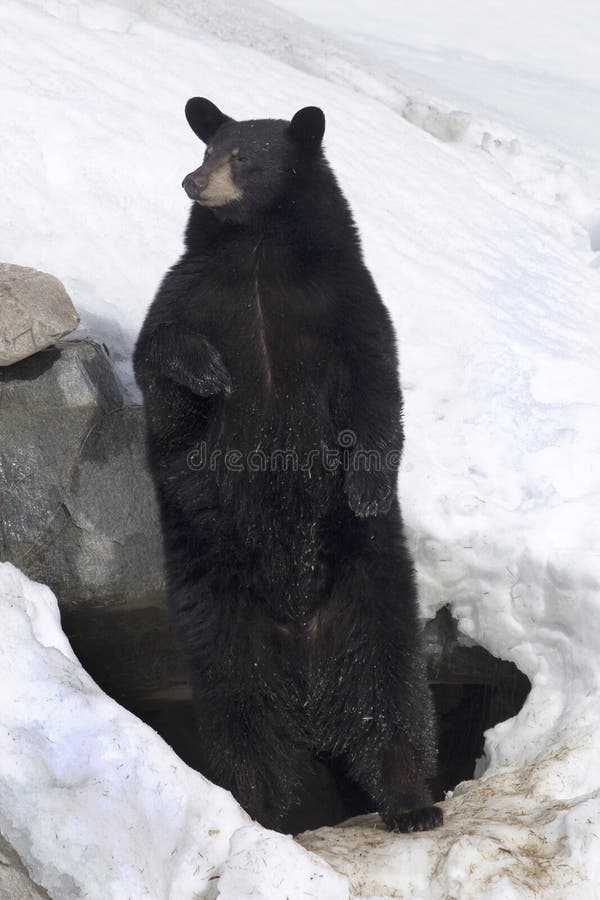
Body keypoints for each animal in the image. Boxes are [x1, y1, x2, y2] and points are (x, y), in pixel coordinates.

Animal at [133, 98, 442, 834]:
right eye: (210, 147)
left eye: (244, 157)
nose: (193, 180)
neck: (258, 254)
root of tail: (305, 651)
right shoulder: (192, 294)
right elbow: (158, 363)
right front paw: (209, 371)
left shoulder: (348, 305)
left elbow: (379, 389)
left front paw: (366, 488)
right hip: (220, 619)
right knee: (245, 725)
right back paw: (256, 813)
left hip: (372, 590)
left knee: (391, 697)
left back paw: (411, 802)